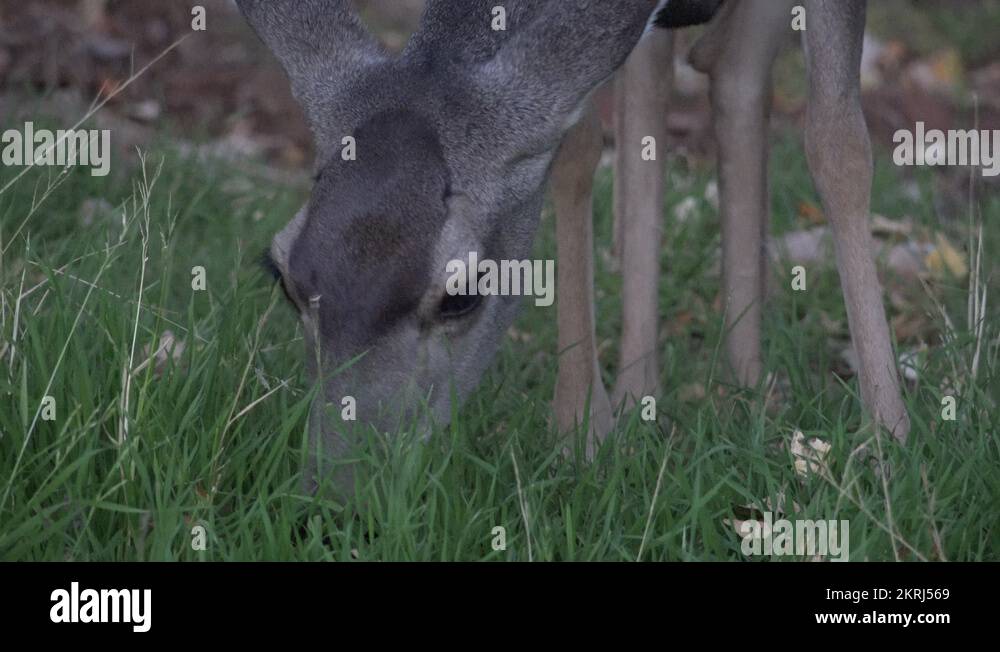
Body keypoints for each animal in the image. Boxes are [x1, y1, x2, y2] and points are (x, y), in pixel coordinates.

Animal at [238, 0, 910, 496]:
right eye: (283, 275)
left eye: (462, 295)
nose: (335, 493)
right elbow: (579, 142)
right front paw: (584, 428)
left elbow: (839, 142)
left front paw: (887, 436)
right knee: (691, 76)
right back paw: (662, 389)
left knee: (738, 69)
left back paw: (748, 385)